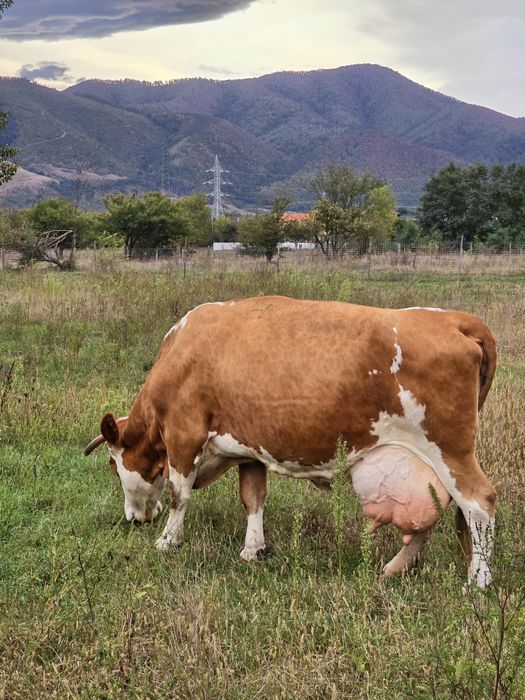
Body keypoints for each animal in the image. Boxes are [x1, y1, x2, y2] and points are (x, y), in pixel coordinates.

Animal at [85, 296, 497, 588]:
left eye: (112, 464)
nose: (134, 519)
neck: (180, 349)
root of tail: (453, 319)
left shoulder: (184, 434)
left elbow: (177, 494)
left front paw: (168, 541)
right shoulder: (248, 446)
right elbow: (253, 497)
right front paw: (253, 549)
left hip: (449, 448)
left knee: (479, 502)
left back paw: (478, 581)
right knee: (435, 511)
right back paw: (396, 567)